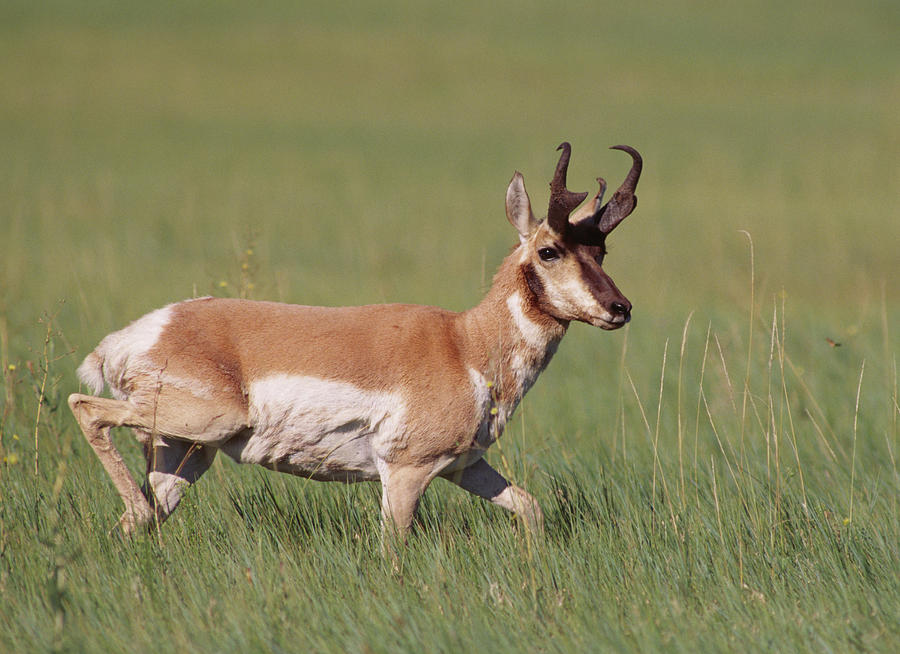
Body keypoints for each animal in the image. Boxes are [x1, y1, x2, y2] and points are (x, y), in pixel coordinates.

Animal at [68, 142, 642, 543]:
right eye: (549, 250)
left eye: (602, 251)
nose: (621, 308)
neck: (464, 343)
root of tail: (139, 333)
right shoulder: (405, 473)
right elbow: (395, 547)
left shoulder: (466, 466)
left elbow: (531, 509)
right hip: (206, 421)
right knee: (85, 408)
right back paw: (136, 505)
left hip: (185, 454)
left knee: (133, 520)